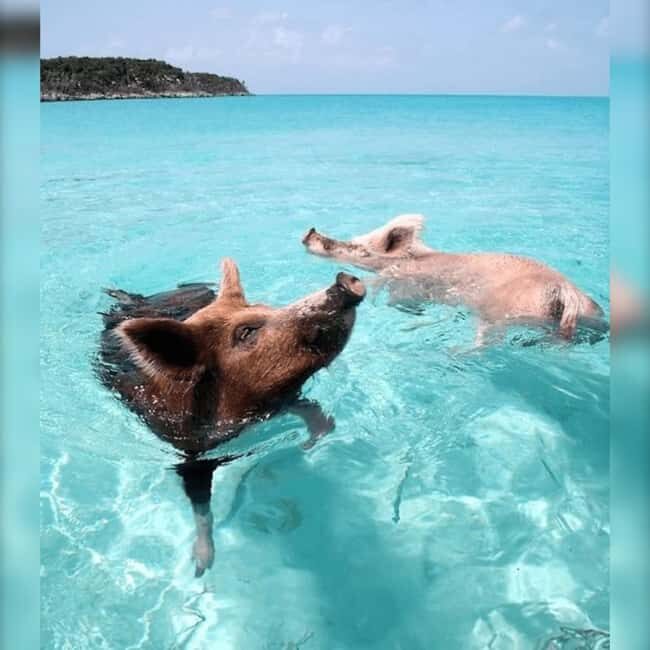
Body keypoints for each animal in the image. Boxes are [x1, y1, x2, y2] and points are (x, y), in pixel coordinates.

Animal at [97, 259, 365, 576]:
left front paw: (312, 441)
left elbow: (309, 409)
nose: (345, 281)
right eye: (246, 332)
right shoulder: (190, 454)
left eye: (266, 307)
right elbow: (201, 507)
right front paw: (202, 567)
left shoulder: (281, 398)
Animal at [303, 214, 606, 344]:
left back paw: (454, 353)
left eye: (357, 246)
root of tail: (568, 294)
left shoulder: (406, 283)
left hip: (499, 310)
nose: (309, 232)